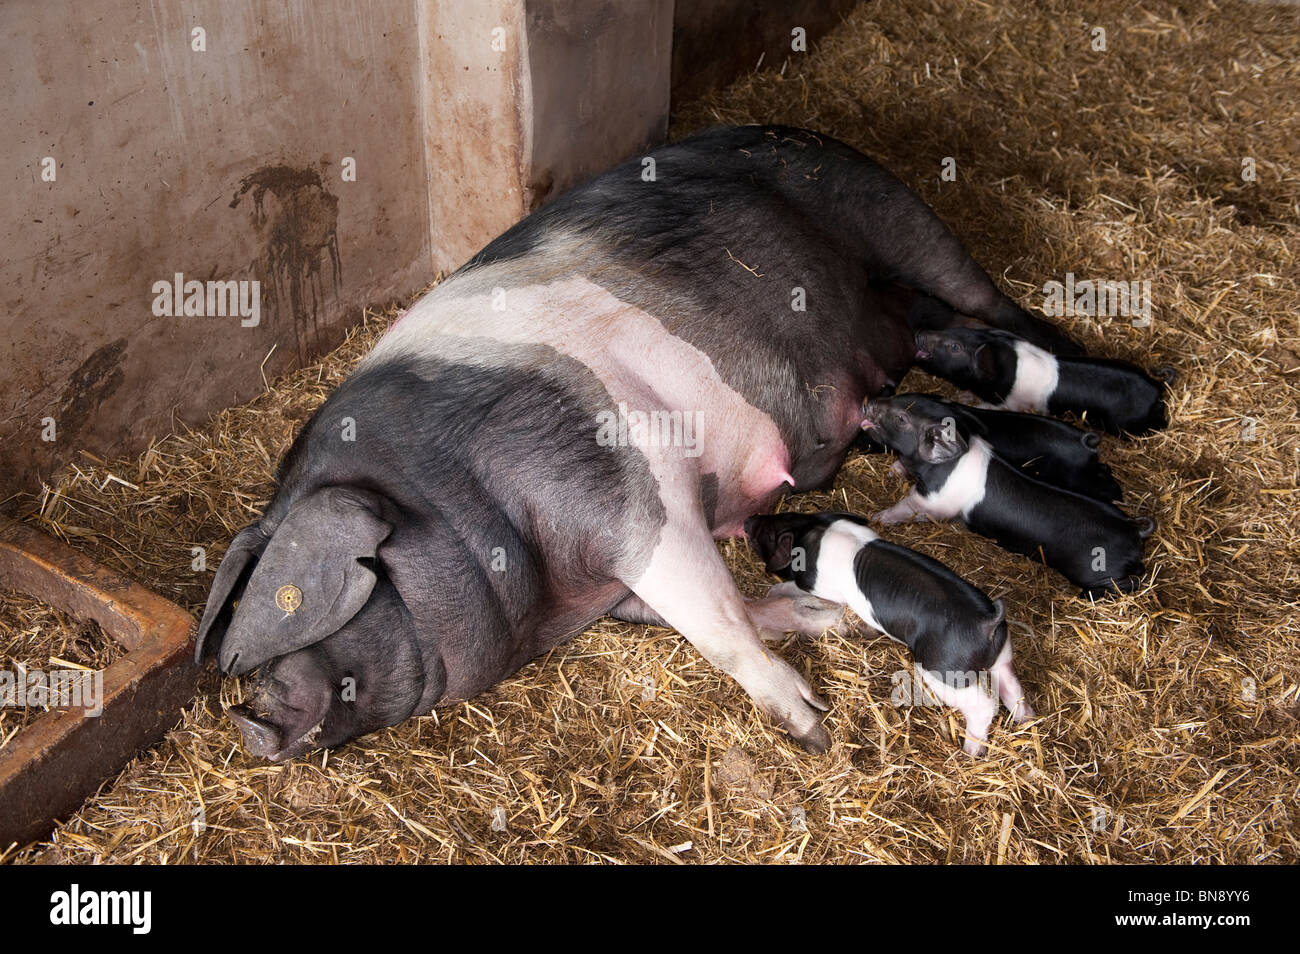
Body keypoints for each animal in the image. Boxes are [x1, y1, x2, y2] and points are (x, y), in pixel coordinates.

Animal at [745, 511, 1035, 756]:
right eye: (779, 514)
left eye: (766, 534)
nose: (749, 519)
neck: (809, 531)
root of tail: (987, 621)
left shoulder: (824, 589)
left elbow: (798, 589)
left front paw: (776, 590)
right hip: (1002, 655)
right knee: (1011, 685)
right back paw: (1026, 718)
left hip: (943, 670)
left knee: (983, 705)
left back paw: (972, 750)